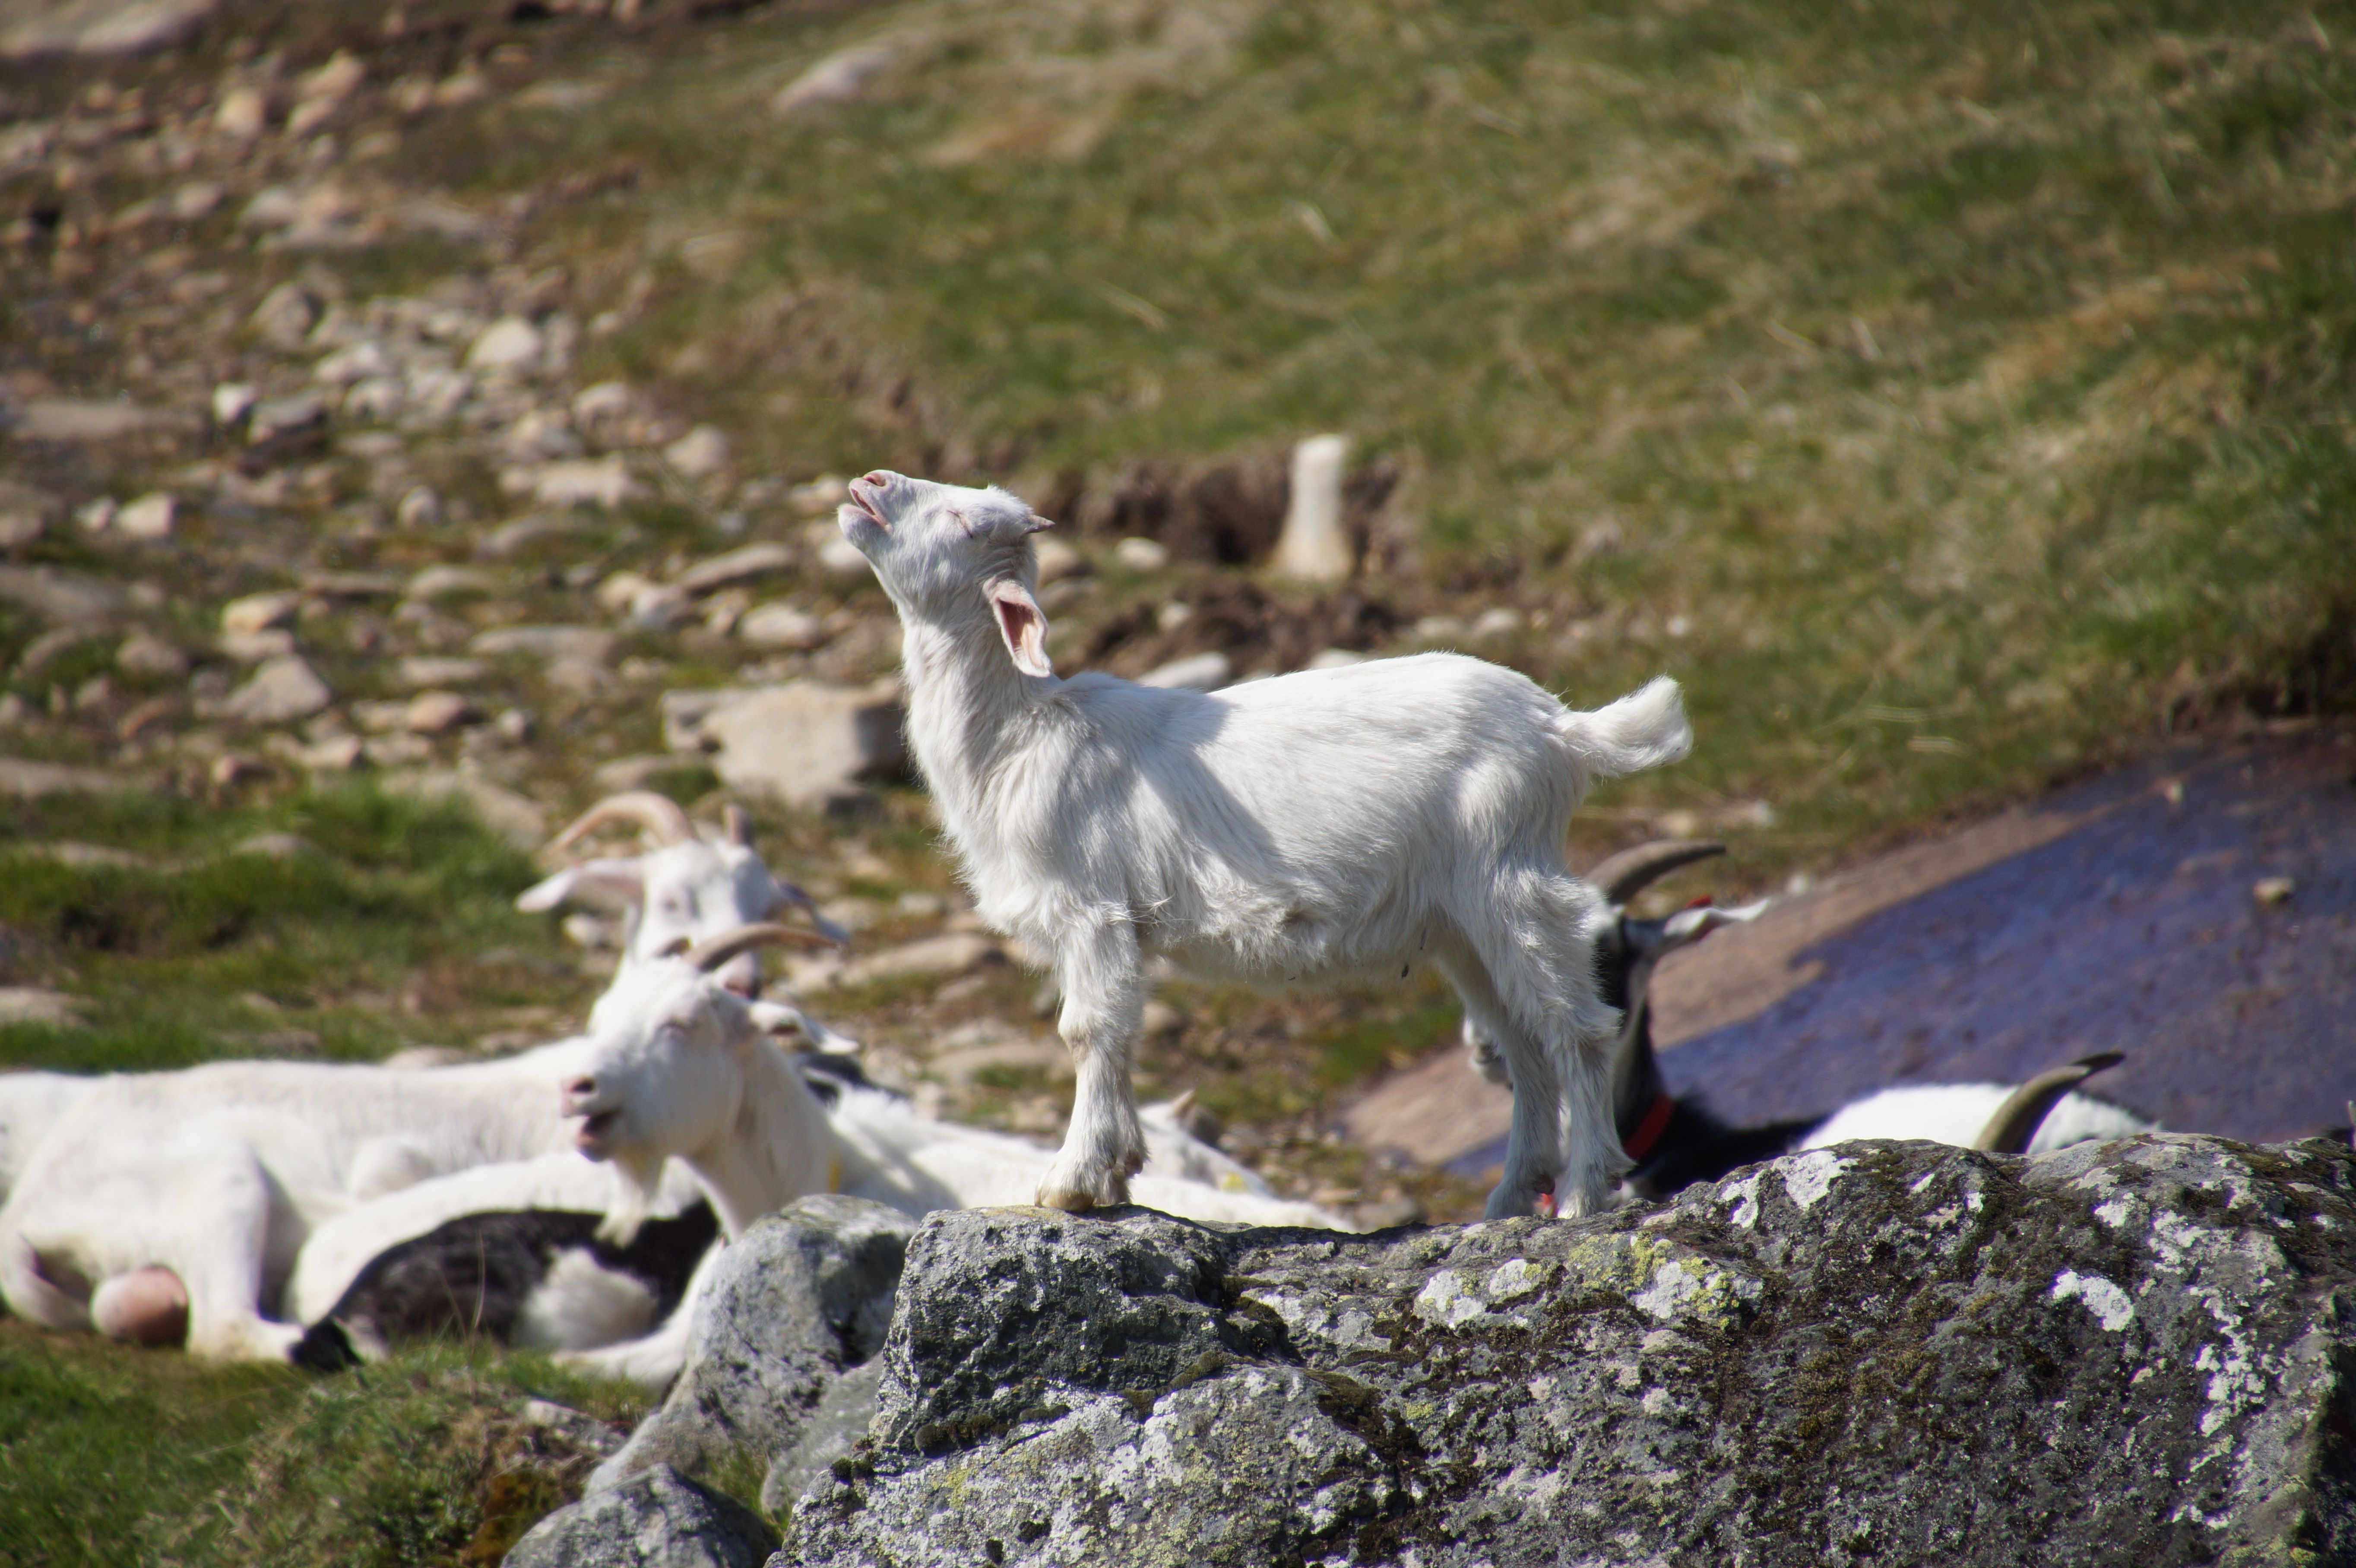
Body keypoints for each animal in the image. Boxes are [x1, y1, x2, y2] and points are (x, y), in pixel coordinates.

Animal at [837, 470, 1692, 1220]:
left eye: (965, 522)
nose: (870, 483)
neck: (1019, 737)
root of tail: (1565, 729)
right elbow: (1120, 1033)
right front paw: (1119, 1170)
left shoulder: (1092, 911)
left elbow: (1089, 1032)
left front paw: (1073, 1182)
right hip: (1462, 927)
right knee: (1524, 1048)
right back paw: (1511, 1200)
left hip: (1512, 877)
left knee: (1578, 1029)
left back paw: (1581, 1195)